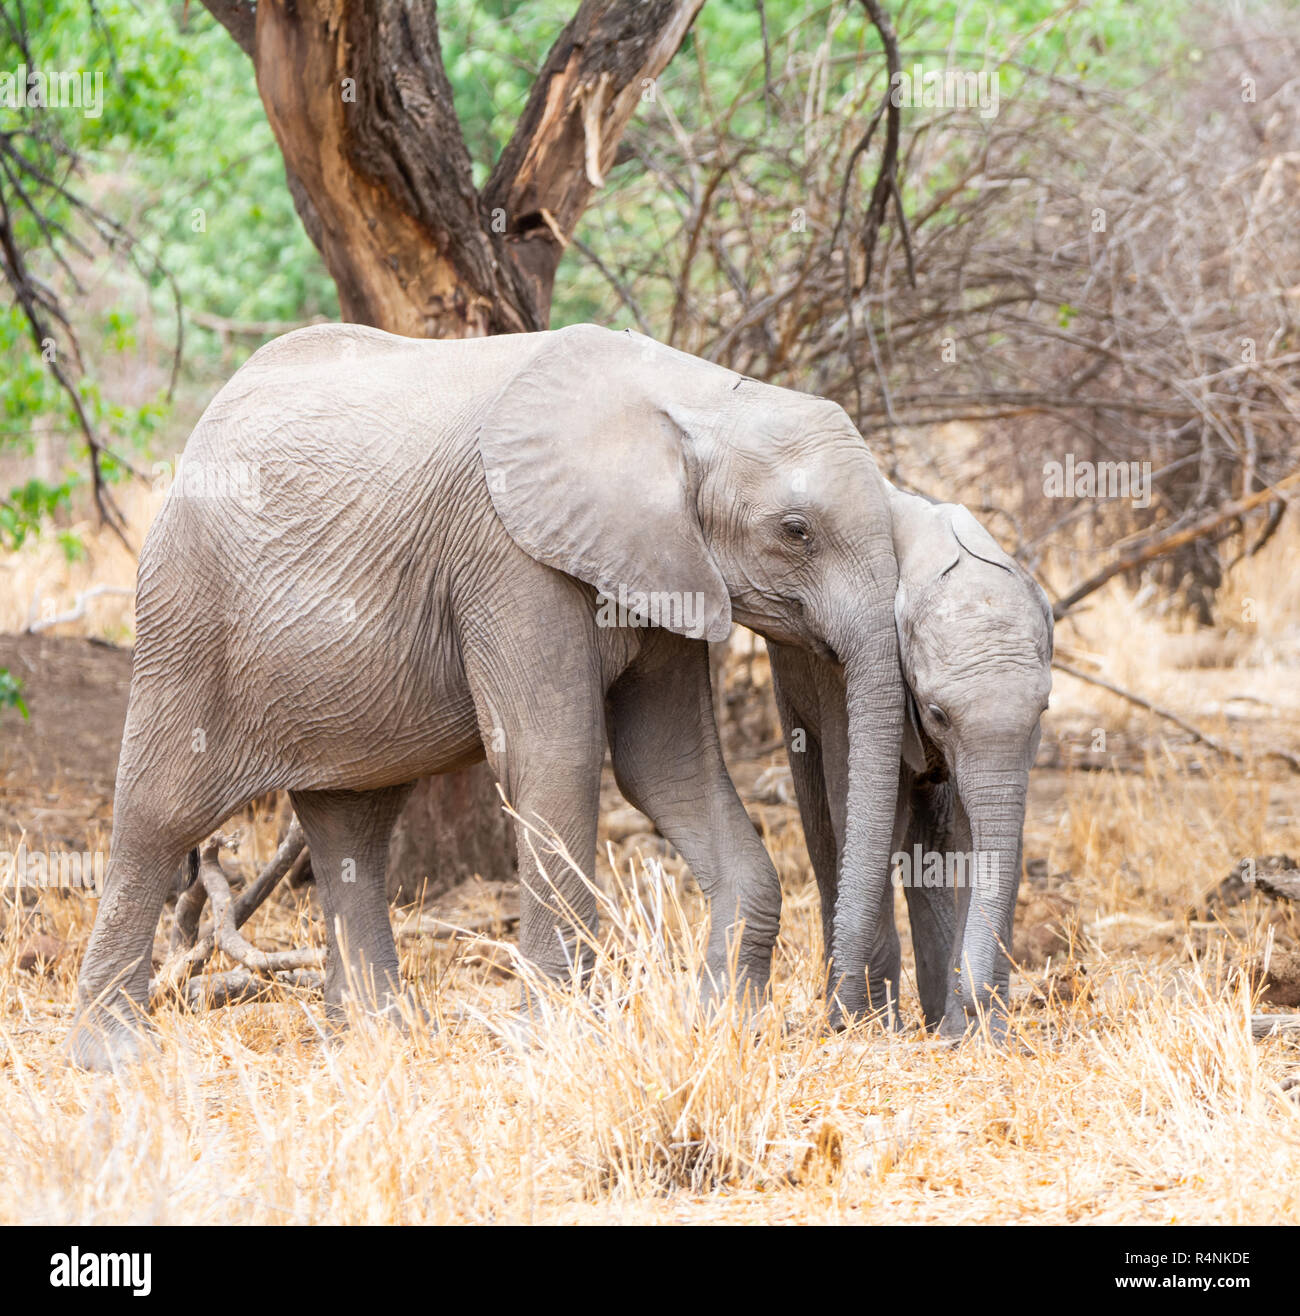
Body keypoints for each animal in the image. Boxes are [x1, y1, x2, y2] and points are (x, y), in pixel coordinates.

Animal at [68, 322, 906, 1070]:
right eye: (796, 530)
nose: (836, 1021)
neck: (693, 397)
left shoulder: (662, 565)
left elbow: (665, 767)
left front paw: (723, 1021)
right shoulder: (511, 557)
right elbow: (553, 760)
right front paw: (558, 1039)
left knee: (353, 826)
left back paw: (383, 1039)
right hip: (188, 613)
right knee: (162, 811)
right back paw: (115, 1056)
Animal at [770, 482, 1053, 1035]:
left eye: (1043, 712)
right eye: (937, 713)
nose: (979, 1001)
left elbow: (974, 837)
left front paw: (976, 1035)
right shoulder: (846, 680)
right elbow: (874, 816)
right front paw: (867, 1028)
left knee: (934, 833)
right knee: (824, 820)